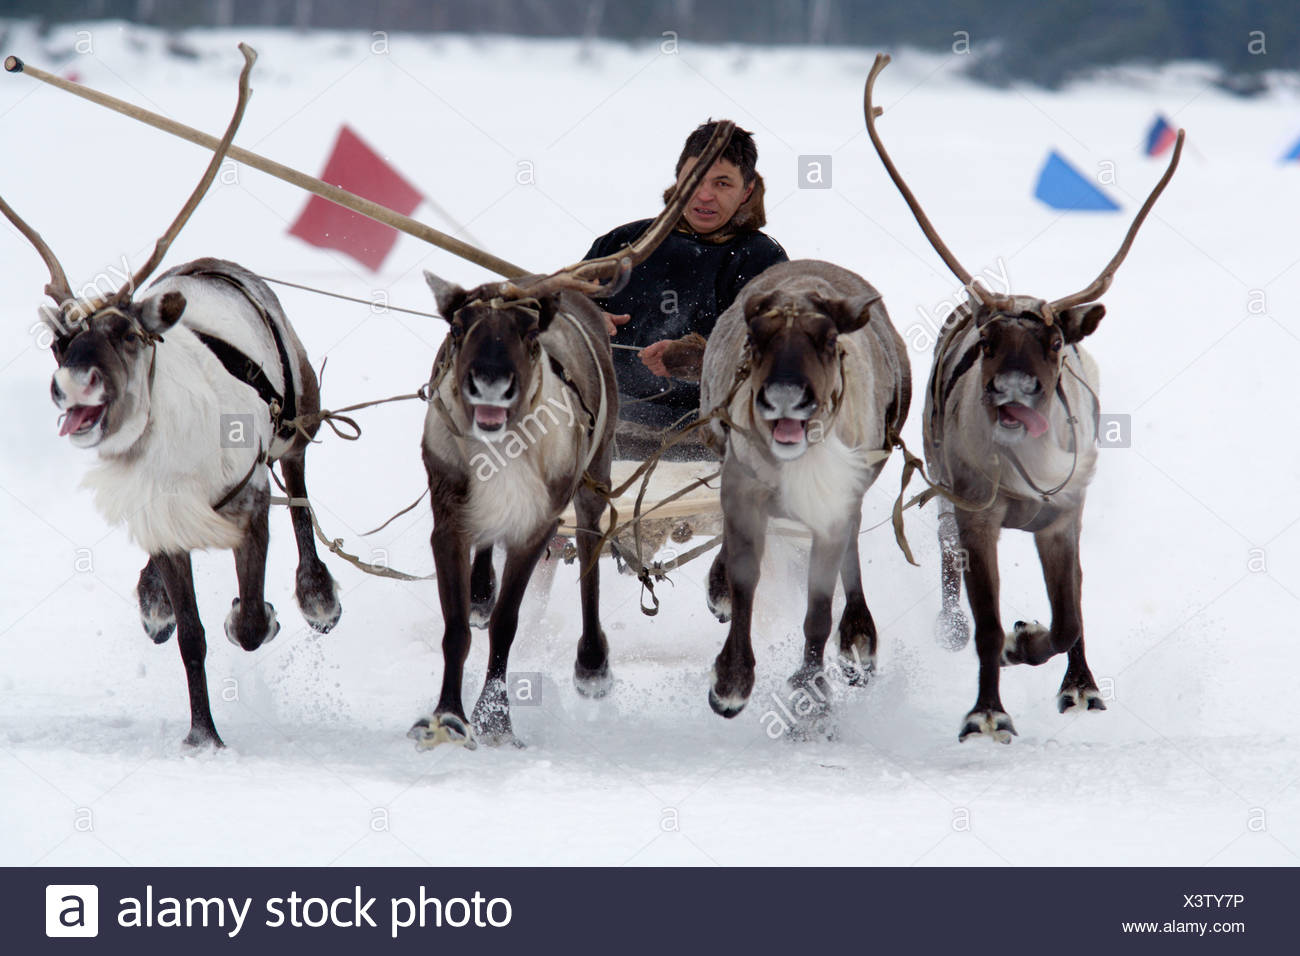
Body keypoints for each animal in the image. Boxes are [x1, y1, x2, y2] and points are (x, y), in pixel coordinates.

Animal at [0, 45, 341, 748]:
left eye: (129, 334)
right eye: (59, 344)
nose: (70, 384)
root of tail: (215, 263)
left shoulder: (250, 500)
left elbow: (246, 623)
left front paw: (263, 613)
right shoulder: (165, 519)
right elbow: (192, 638)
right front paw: (203, 737)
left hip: (301, 412)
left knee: (300, 483)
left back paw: (318, 596)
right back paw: (152, 601)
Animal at [408, 122, 738, 750]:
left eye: (527, 329)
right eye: (459, 326)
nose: (490, 383)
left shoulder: (539, 520)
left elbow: (509, 625)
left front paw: (496, 718)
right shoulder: (448, 517)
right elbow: (457, 627)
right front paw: (446, 716)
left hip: (596, 471)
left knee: (589, 549)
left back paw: (592, 665)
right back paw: (484, 592)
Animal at [697, 259, 911, 728]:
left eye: (829, 340)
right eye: (755, 337)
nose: (783, 398)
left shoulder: (833, 508)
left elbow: (818, 609)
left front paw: (811, 689)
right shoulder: (742, 491)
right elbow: (745, 582)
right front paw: (731, 682)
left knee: (851, 548)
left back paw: (858, 638)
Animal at [862, 53, 1184, 742]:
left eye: (1056, 338)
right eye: (988, 341)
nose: (1012, 393)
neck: (1027, 471)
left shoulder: (1064, 514)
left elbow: (1070, 615)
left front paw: (1063, 671)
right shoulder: (978, 512)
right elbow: (987, 627)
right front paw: (988, 711)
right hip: (941, 486)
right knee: (945, 563)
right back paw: (953, 629)